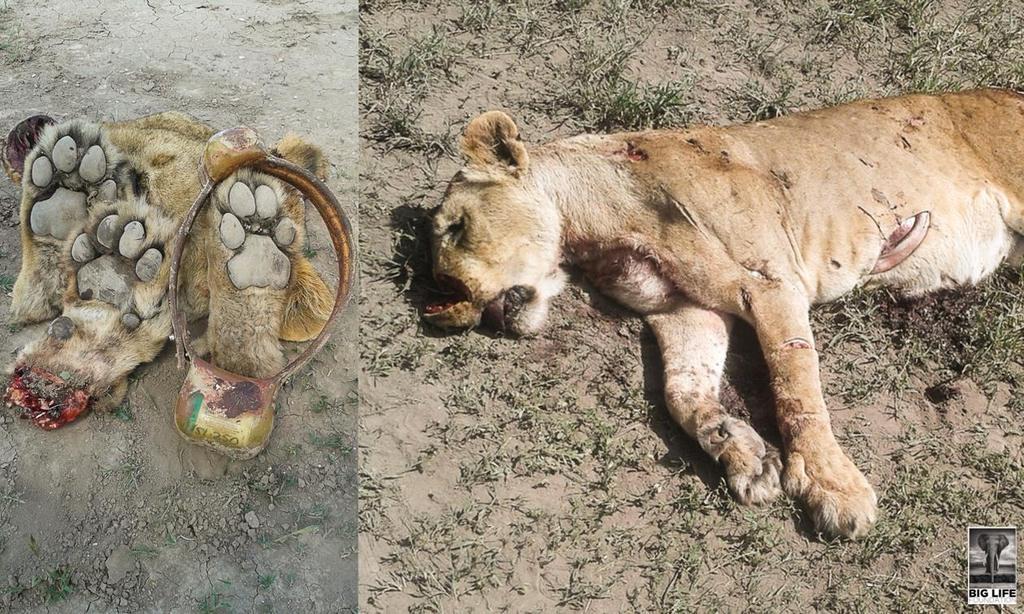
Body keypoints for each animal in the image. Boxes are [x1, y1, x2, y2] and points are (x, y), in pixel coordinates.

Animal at [423, 88, 1024, 539]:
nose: (443, 306)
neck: (592, 228)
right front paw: (743, 454)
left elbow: (797, 388)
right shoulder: (687, 310)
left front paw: (833, 487)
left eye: (455, 227)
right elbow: (683, 392)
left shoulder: (771, 281)